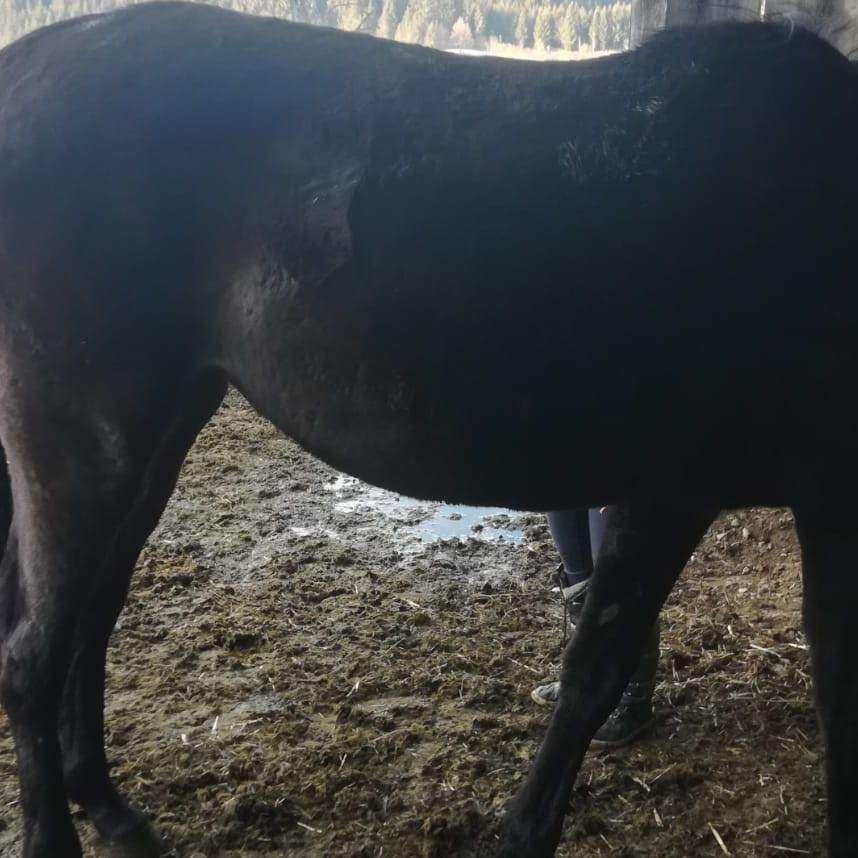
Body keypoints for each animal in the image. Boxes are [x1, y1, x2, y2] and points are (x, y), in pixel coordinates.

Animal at [0, 3, 856, 856]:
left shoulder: (817, 501)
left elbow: (828, 665)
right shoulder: (671, 490)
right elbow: (594, 670)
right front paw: (522, 833)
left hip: (155, 434)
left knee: (91, 621)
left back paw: (109, 806)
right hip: (84, 448)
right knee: (33, 653)